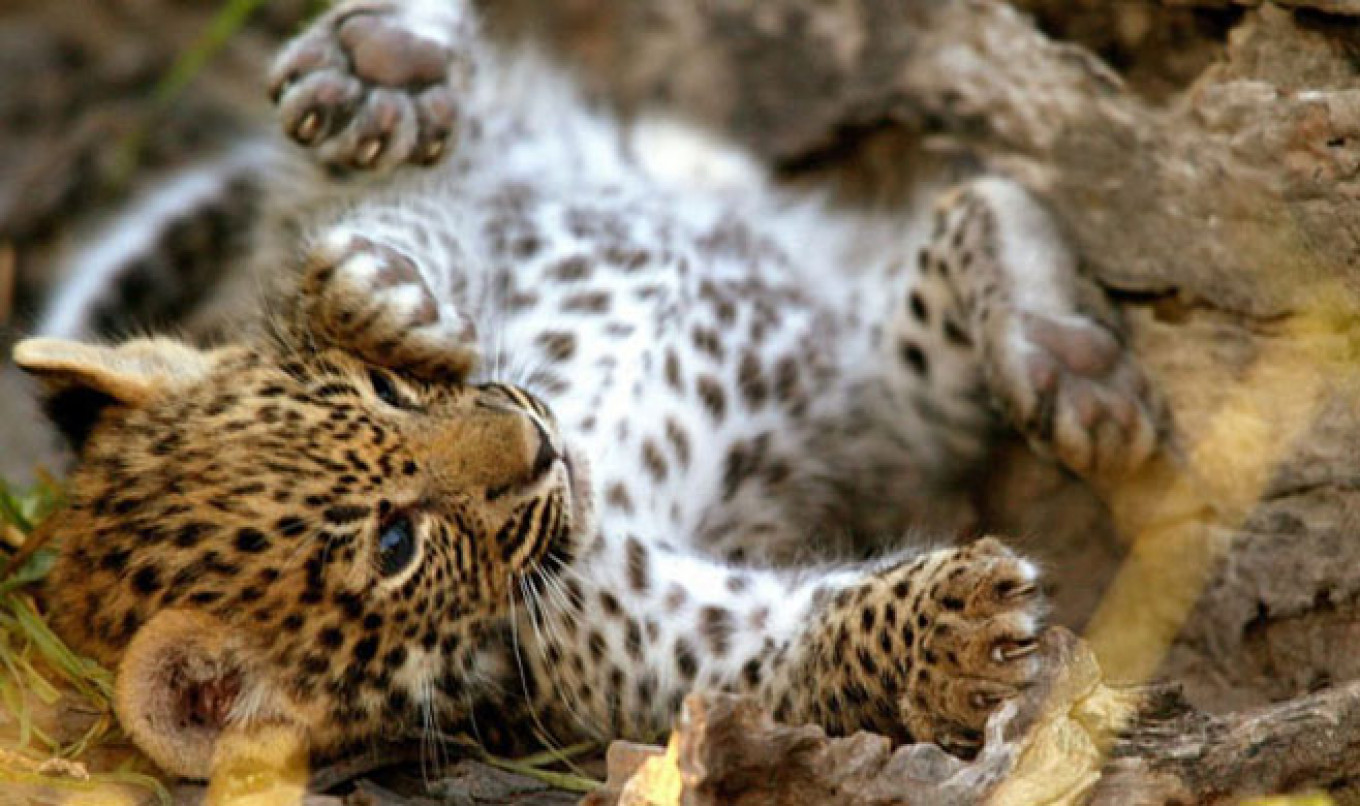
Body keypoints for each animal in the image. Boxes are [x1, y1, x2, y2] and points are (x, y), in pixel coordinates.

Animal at [13, 0, 1160, 782]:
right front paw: (952, 640)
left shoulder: (470, 238)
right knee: (962, 240)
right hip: (878, 380)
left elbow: (370, 247)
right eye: (397, 544)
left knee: (395, 146)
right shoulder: (627, 639)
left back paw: (384, 63)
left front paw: (386, 297)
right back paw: (1063, 352)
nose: (535, 443)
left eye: (390, 392)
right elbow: (772, 650)